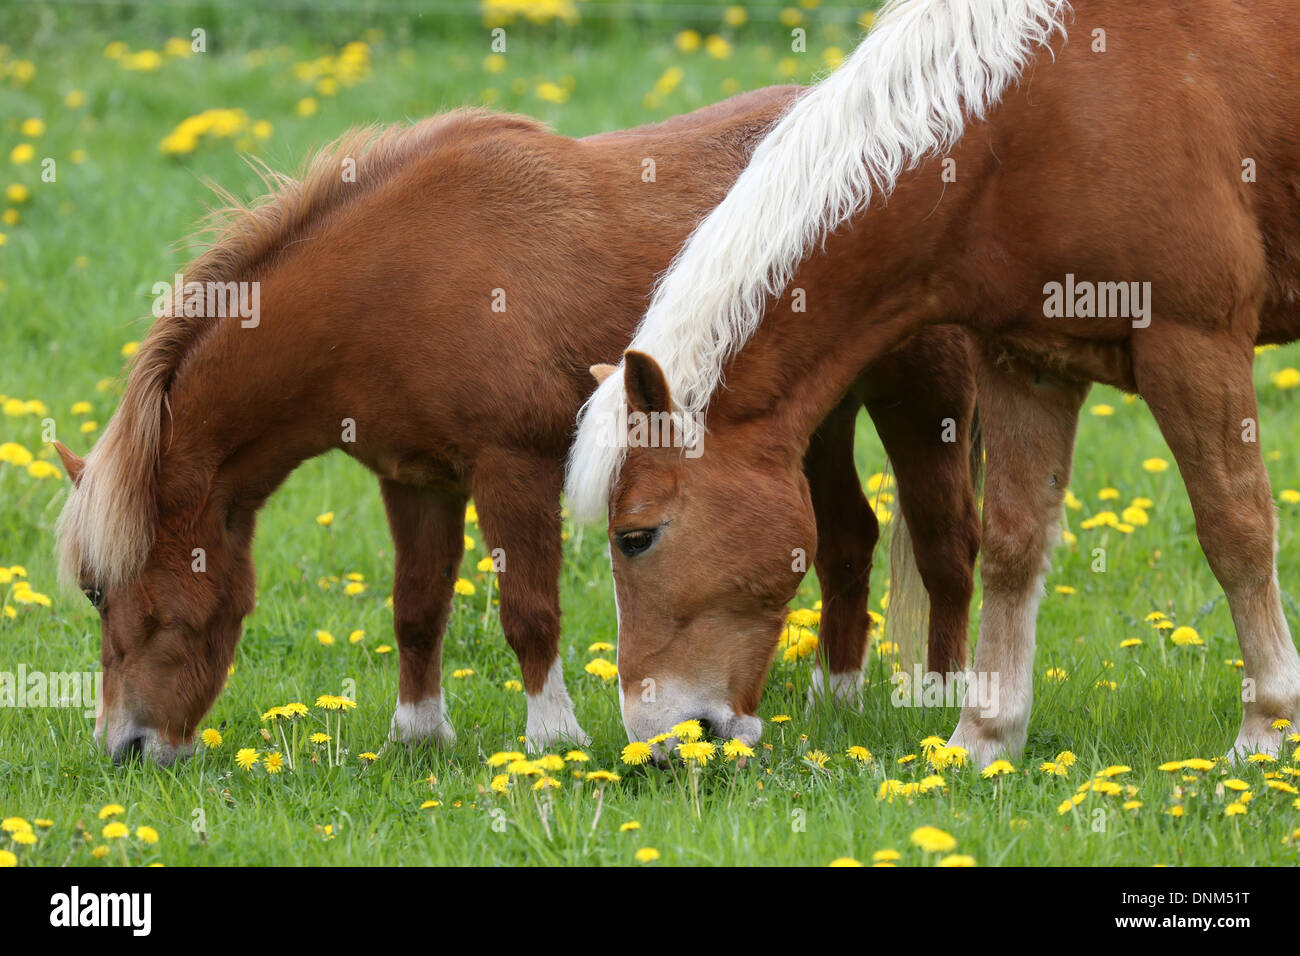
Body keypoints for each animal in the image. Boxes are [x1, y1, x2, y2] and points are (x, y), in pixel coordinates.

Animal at [53, 86, 979, 764]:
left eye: (100, 590)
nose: (124, 747)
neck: (400, 279)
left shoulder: (513, 466)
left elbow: (528, 610)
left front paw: (553, 736)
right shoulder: (415, 481)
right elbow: (417, 606)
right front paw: (418, 733)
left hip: (920, 397)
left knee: (945, 546)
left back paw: (939, 702)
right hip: (803, 422)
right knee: (846, 540)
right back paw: (835, 701)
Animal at [567, 0, 1300, 765]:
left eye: (635, 537)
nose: (656, 740)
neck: (1041, 109)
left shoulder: (1194, 343)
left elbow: (1237, 532)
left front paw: (1267, 728)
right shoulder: (1027, 363)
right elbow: (1011, 546)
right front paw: (983, 738)